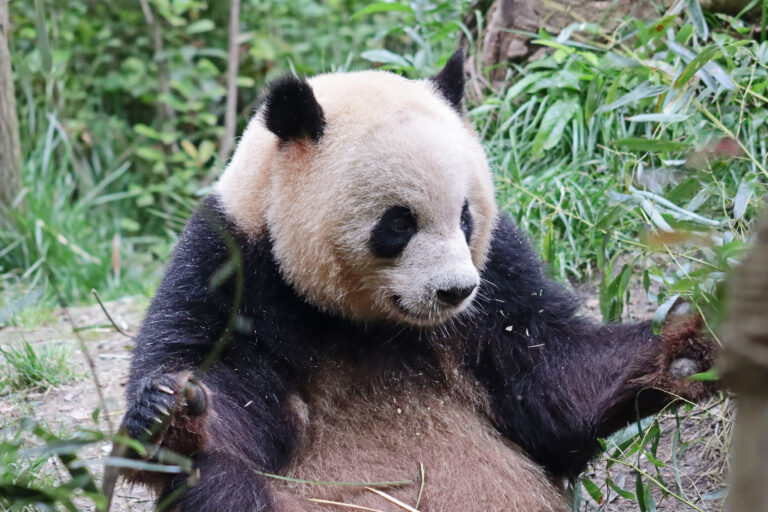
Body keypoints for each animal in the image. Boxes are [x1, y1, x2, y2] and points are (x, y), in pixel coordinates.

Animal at [121, 51, 717, 512]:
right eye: (398, 223)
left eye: (466, 216)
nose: (454, 291)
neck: (365, 324)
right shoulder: (234, 265)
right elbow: (221, 408)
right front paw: (172, 412)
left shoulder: (499, 278)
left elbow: (552, 380)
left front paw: (687, 344)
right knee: (223, 488)